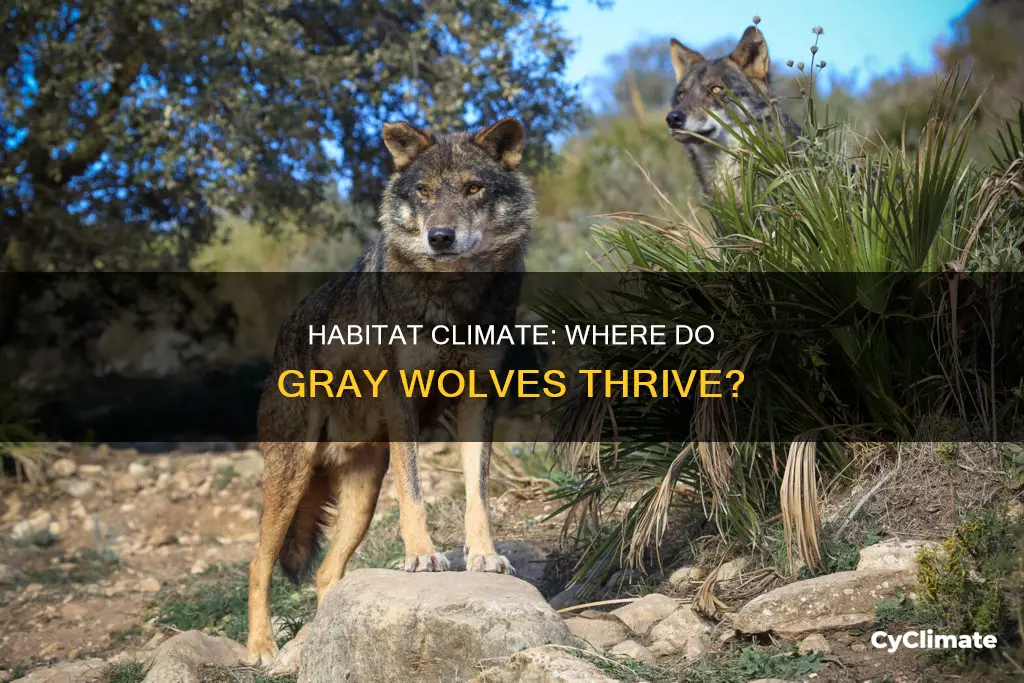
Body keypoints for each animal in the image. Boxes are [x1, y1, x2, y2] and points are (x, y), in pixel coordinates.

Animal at [245, 117, 536, 665]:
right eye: (424, 191)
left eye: (473, 188)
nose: (440, 237)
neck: (452, 300)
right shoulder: (403, 399)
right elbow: (415, 493)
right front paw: (422, 555)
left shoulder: (479, 400)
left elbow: (478, 491)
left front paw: (485, 555)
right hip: (290, 479)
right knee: (257, 565)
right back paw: (260, 648)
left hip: (361, 498)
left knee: (326, 574)